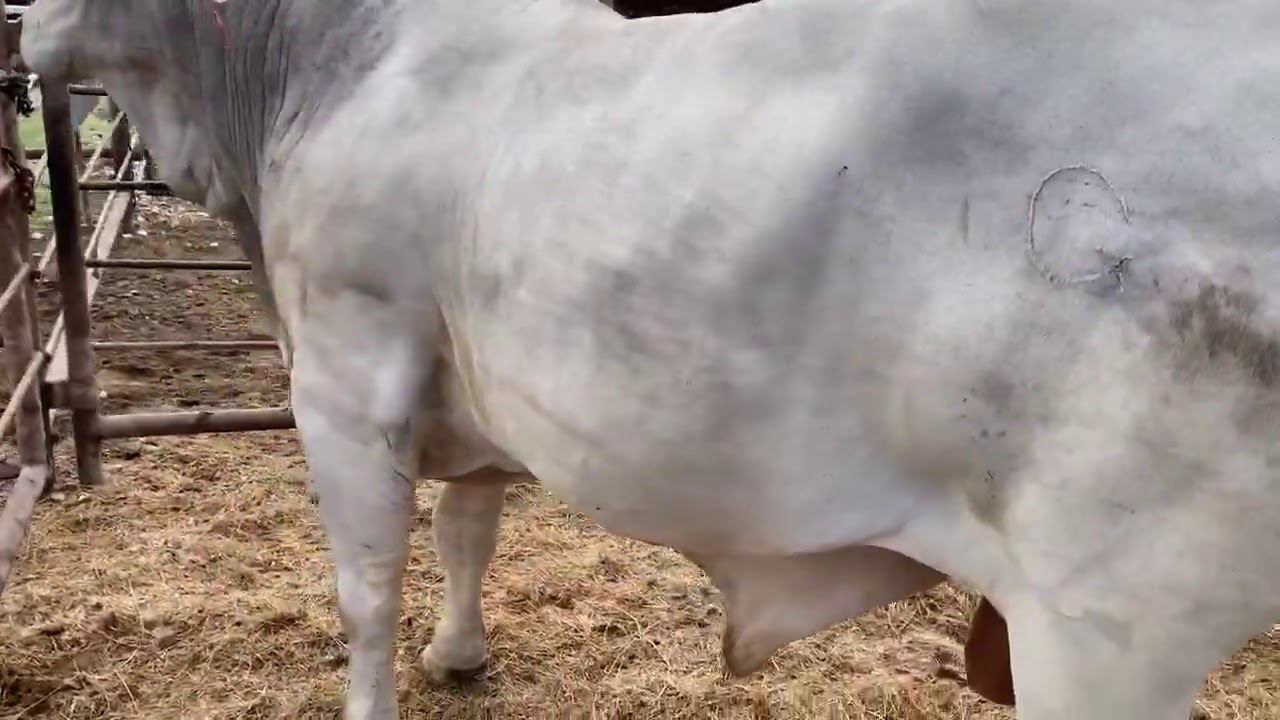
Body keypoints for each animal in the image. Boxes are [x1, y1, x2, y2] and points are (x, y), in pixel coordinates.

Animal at [20, 0, 1280, 718]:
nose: (25, 22)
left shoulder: (343, 365)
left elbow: (365, 588)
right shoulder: (478, 377)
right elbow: (466, 528)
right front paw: (459, 654)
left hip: (1103, 629)